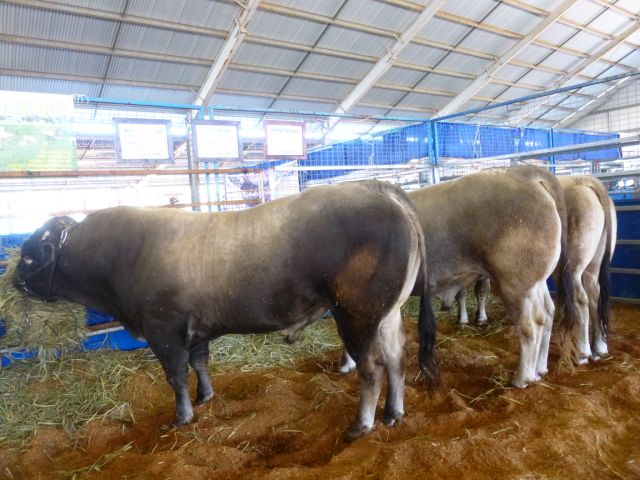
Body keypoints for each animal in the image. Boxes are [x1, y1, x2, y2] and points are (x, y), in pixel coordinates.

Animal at [13, 180, 439, 440]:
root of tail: (378, 188)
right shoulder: (195, 328)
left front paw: (182, 416)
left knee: (372, 368)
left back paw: (361, 424)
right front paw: (206, 396)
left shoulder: (162, 329)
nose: (14, 281)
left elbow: (175, 375)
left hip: (356, 314)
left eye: (30, 255)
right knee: (397, 359)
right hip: (387, 313)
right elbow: (200, 363)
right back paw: (393, 414)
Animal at [286, 166, 577, 388]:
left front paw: (346, 365)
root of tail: (522, 171)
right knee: (548, 313)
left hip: (515, 281)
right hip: (535, 281)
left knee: (531, 324)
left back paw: (522, 378)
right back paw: (540, 369)